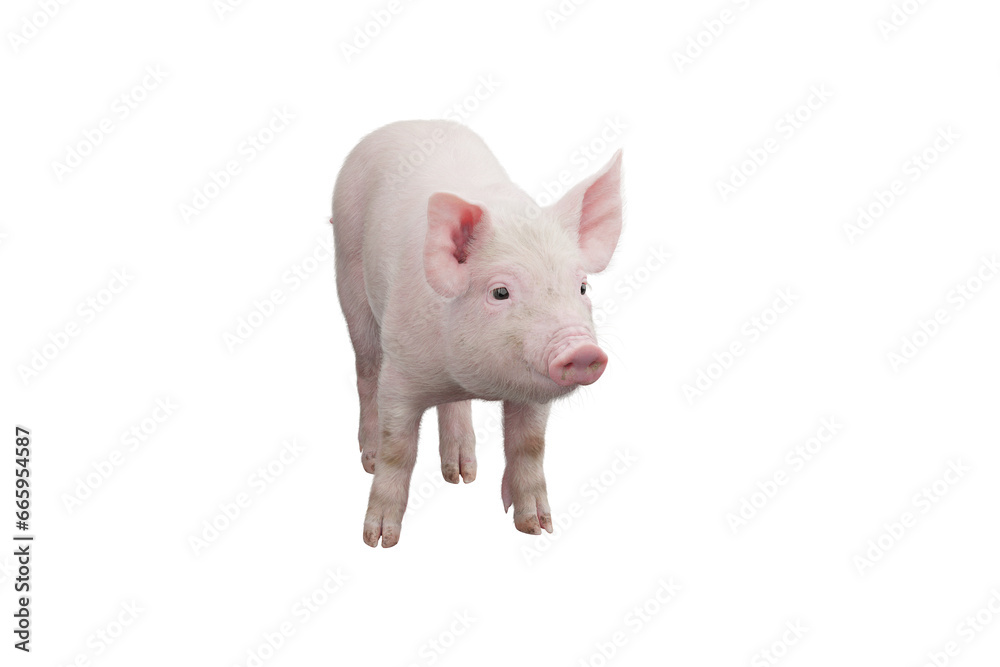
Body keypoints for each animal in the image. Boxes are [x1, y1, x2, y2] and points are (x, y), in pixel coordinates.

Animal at [331, 120, 623, 547]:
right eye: (500, 292)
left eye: (582, 287)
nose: (582, 349)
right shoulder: (399, 369)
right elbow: (397, 448)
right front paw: (378, 539)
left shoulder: (534, 395)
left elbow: (529, 446)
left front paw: (539, 527)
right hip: (349, 277)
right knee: (364, 369)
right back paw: (369, 458)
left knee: (454, 406)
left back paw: (462, 476)